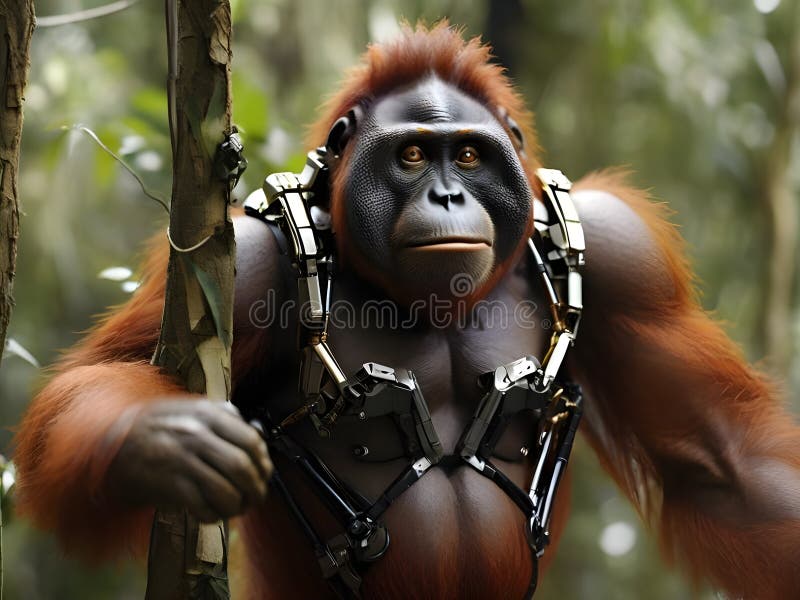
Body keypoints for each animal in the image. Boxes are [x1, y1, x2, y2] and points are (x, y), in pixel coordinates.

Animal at [13, 22, 800, 600]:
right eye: (415, 155)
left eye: (472, 157)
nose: (448, 196)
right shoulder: (242, 263)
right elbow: (112, 372)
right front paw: (158, 440)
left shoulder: (620, 252)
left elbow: (719, 463)